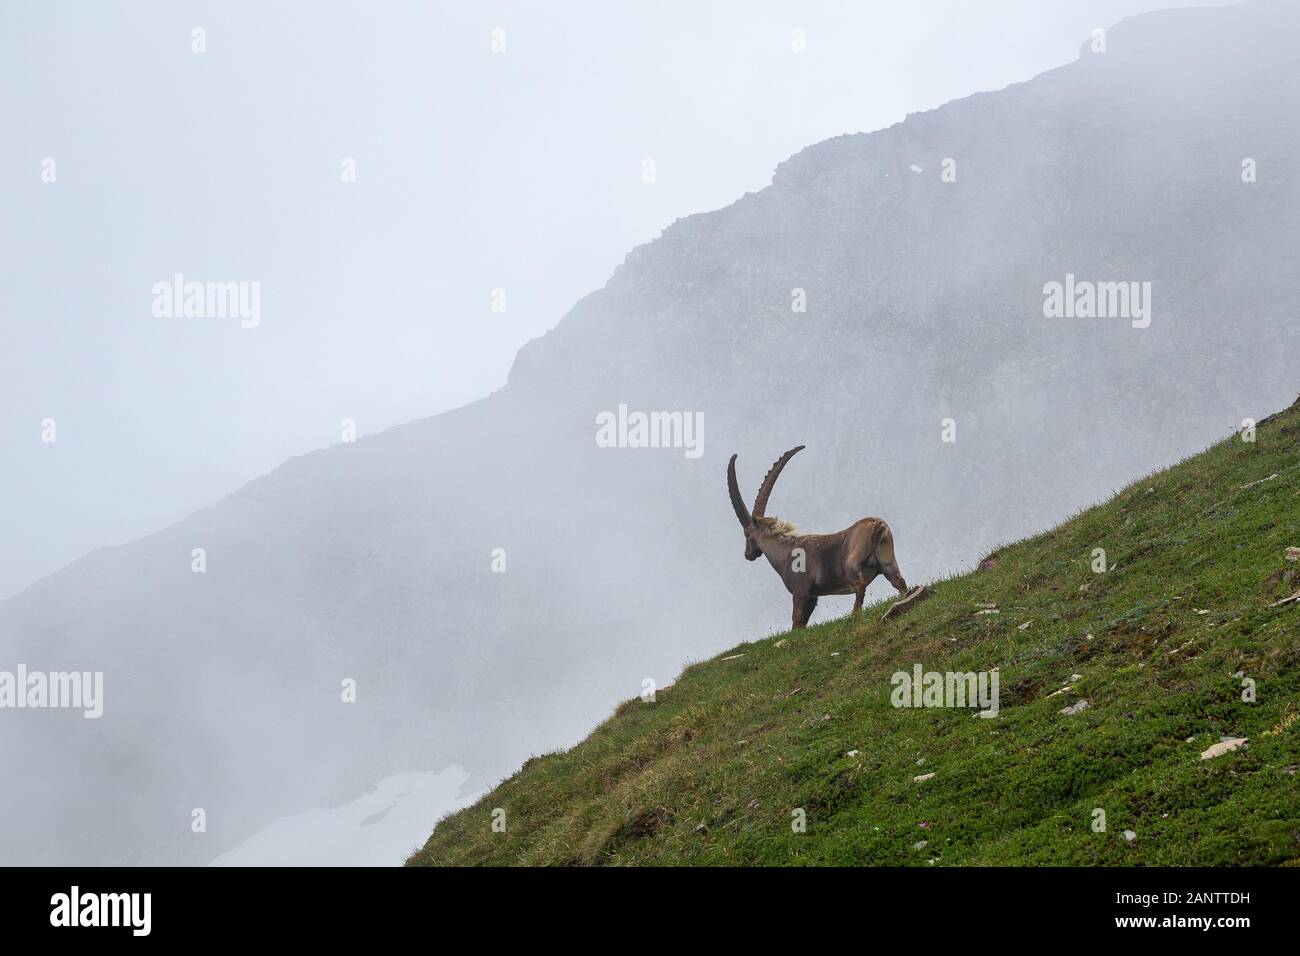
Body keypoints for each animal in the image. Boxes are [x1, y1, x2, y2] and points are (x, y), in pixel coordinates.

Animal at [727, 446, 910, 629]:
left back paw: (854, 616)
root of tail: (878, 525)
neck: (784, 552)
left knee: (860, 584)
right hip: (887, 560)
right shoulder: (812, 596)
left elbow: (797, 618)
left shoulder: (800, 591)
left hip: (852, 563)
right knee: (898, 581)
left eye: (746, 533)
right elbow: (803, 622)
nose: (748, 554)